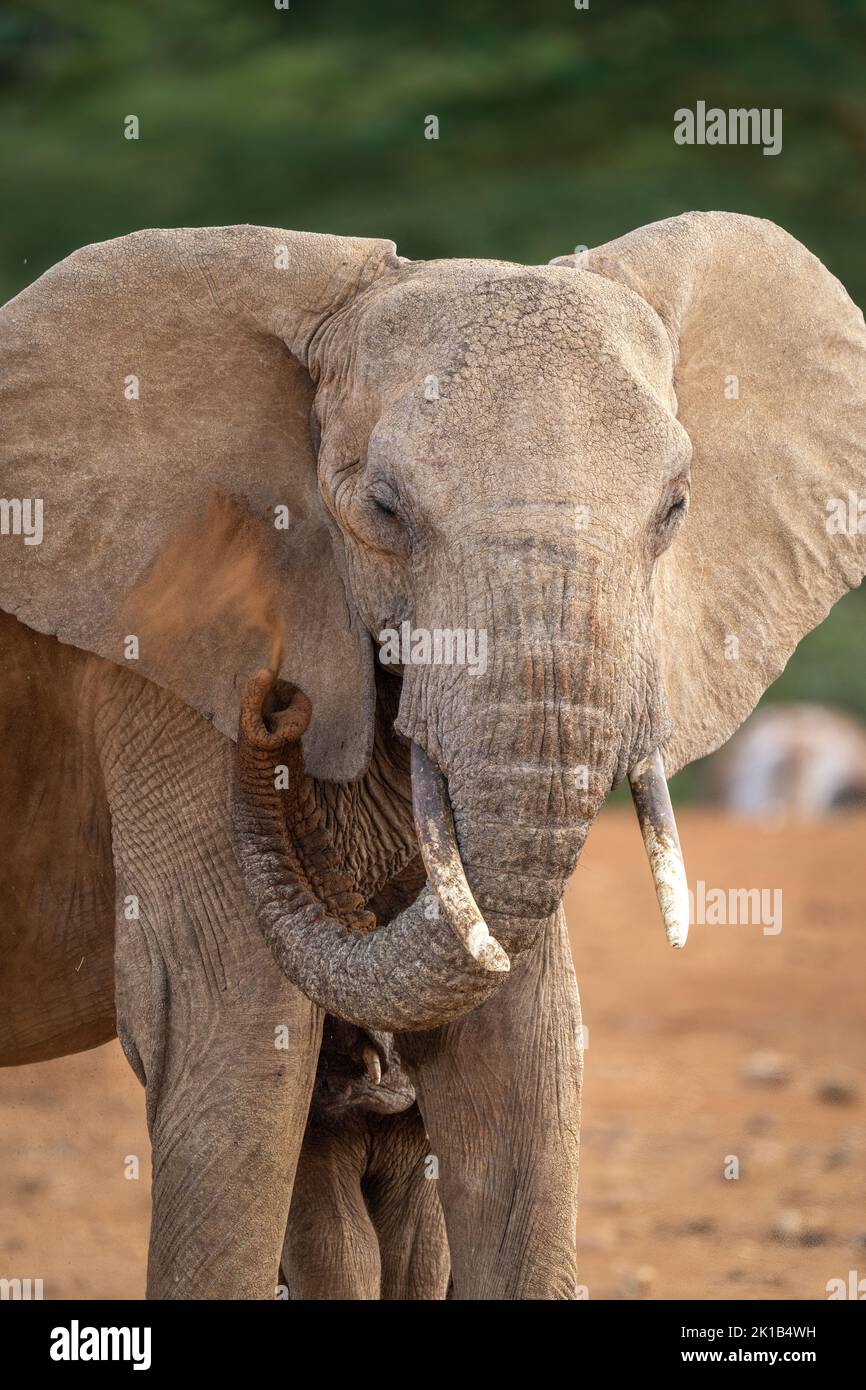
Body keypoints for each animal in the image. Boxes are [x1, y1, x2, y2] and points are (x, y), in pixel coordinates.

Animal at [1, 212, 864, 1299]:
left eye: (675, 508)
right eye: (382, 508)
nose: (275, 708)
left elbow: (521, 1048)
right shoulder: (165, 650)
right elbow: (228, 1034)